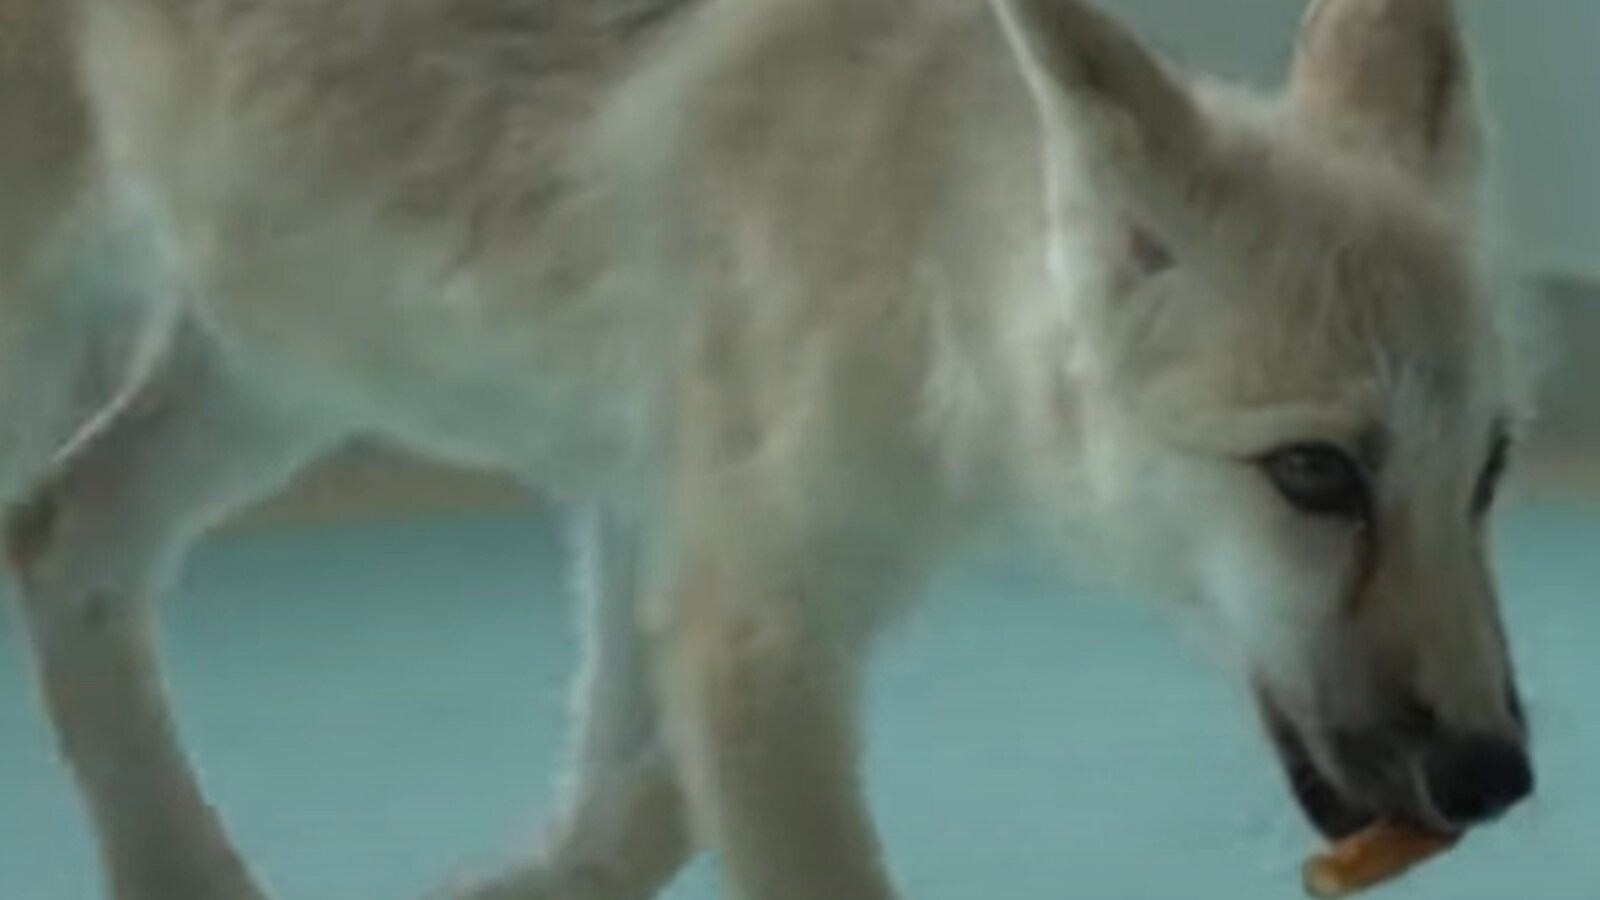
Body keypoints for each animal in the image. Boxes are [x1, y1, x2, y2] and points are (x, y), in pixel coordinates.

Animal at [0, 0, 1535, 898]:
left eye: (1489, 475)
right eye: (1315, 474)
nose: (1498, 781)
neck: (907, 236)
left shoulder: (688, 561)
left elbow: (618, 826)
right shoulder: (749, 617)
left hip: (285, 363)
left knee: (65, 534)